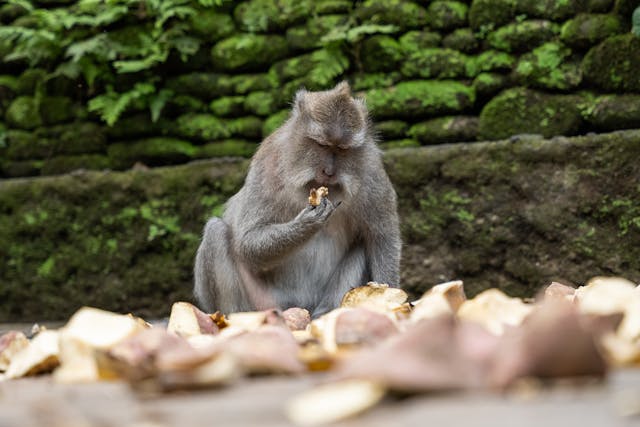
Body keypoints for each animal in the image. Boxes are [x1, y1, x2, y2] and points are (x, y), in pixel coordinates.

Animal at [194, 81, 401, 317]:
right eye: (321, 145)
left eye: (341, 149)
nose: (328, 172)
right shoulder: (269, 161)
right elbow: (248, 242)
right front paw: (308, 223)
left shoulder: (372, 171)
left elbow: (382, 238)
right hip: (264, 302)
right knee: (216, 231)